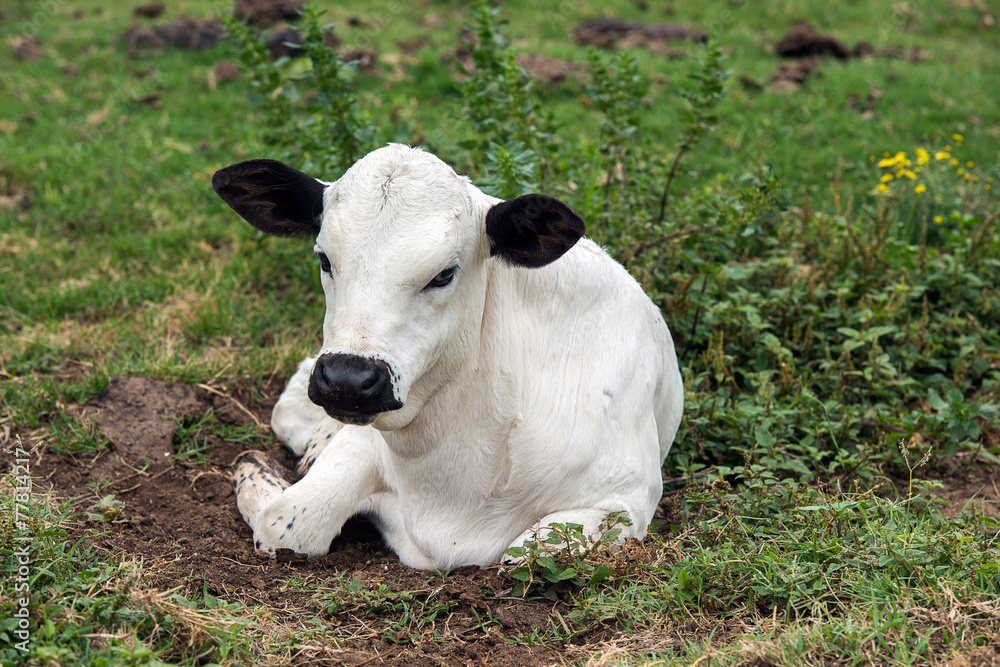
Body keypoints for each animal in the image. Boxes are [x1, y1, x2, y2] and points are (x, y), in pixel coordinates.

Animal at [212, 144, 683, 569]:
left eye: (443, 274)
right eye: (324, 259)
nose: (347, 379)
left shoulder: (626, 498)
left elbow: (529, 550)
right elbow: (280, 524)